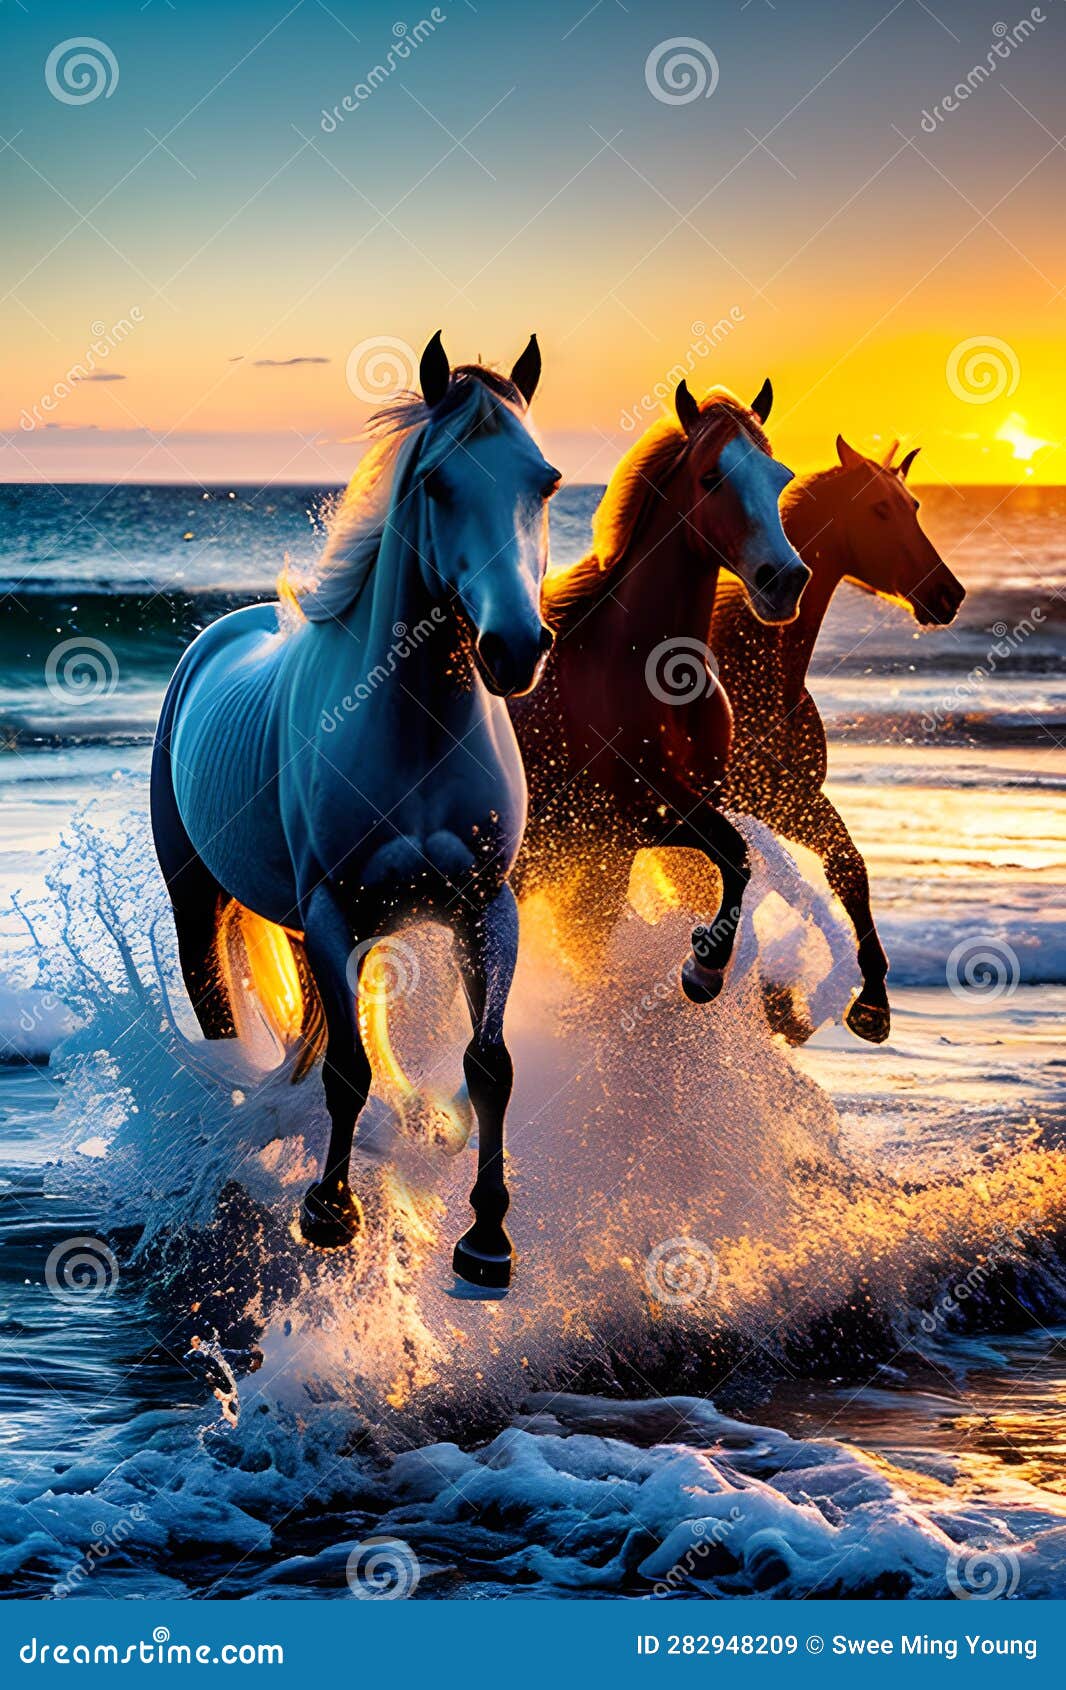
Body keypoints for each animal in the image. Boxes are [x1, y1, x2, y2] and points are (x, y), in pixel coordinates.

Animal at [150, 332, 559, 1289]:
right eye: (438, 483)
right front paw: (330, 1211)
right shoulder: (335, 910)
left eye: (546, 482)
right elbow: (344, 1070)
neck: (415, 732)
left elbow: (489, 1066)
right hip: (201, 906)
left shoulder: (487, 909)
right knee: (226, 1026)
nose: (516, 649)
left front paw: (488, 1239)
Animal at [510, 377, 810, 1002]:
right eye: (711, 477)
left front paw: (704, 965)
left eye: (780, 476)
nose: (785, 581)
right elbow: (735, 853)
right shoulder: (645, 810)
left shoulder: (618, 848)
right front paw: (702, 968)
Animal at [710, 434, 965, 1042]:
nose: (949, 594)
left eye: (914, 506)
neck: (755, 673)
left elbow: (848, 867)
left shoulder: (790, 799)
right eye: (878, 509)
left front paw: (865, 1005)